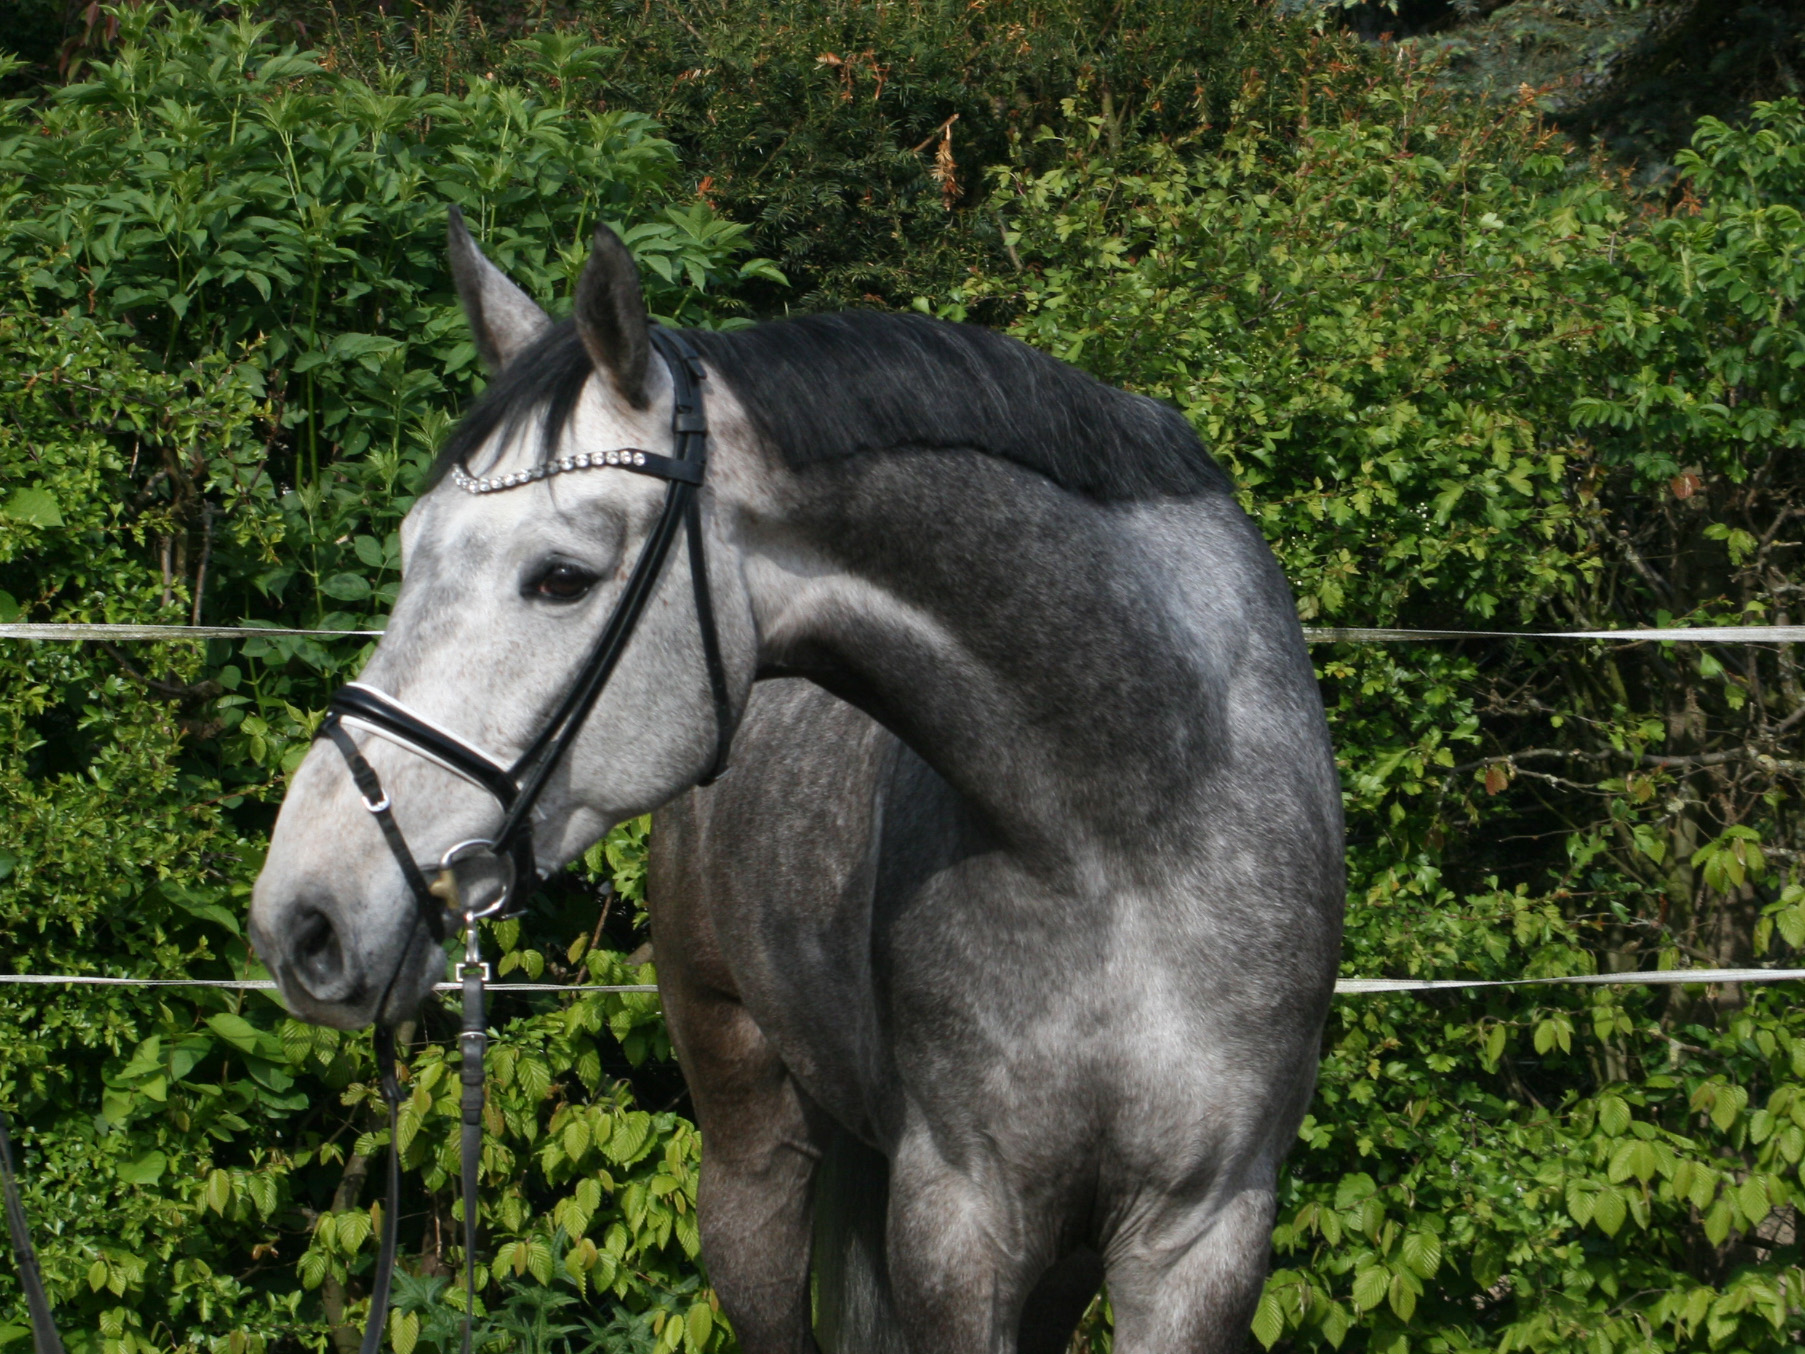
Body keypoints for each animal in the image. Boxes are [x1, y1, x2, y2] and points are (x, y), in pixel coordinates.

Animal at [248, 212, 1345, 1354]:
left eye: (560, 578)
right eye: (410, 548)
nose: (303, 917)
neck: (1124, 827)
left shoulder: (1197, 1240)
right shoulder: (959, 1225)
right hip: (754, 1154)